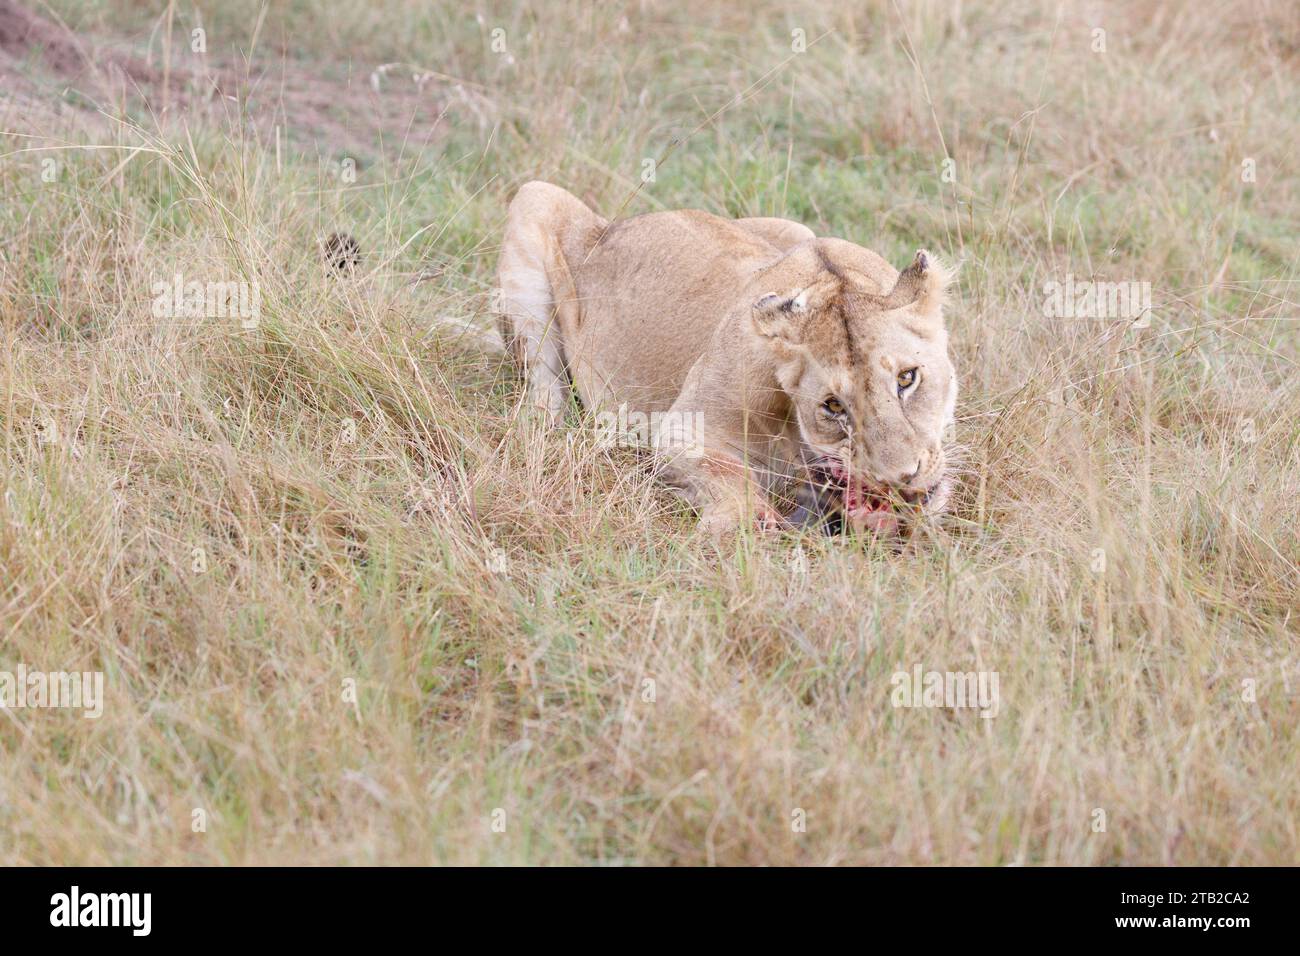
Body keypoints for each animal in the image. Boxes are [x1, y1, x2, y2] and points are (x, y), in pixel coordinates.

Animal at [496, 181, 957, 538]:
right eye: (832, 406)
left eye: (907, 378)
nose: (900, 479)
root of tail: (618, 221)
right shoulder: (680, 428)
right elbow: (725, 473)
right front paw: (742, 523)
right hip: (533, 196)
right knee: (543, 389)